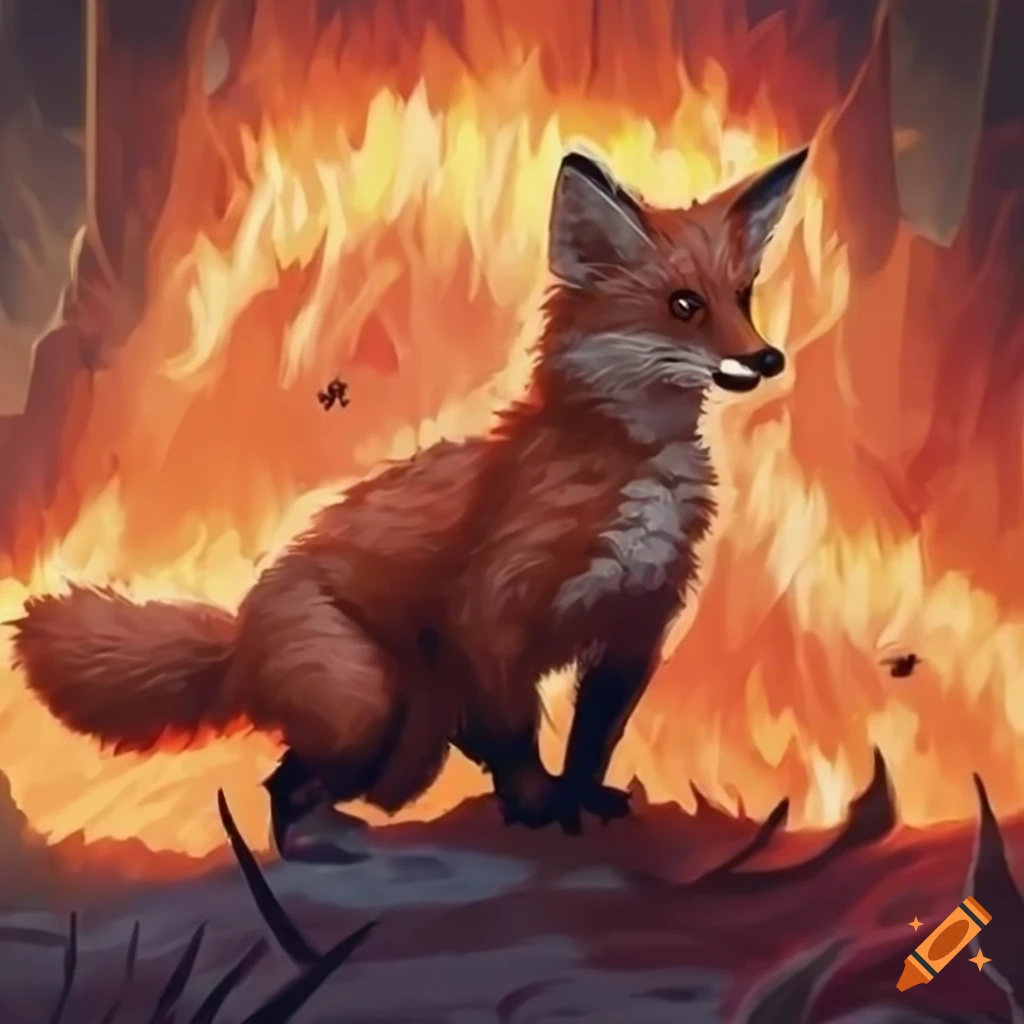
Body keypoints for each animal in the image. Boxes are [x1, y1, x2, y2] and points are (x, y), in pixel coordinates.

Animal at [11, 143, 808, 852]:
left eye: (742, 298)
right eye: (684, 305)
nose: (769, 358)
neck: (629, 465)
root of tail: (239, 634)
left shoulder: (634, 627)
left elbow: (591, 742)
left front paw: (578, 799)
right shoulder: (493, 615)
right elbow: (519, 738)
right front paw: (536, 806)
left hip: (409, 743)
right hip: (369, 707)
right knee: (284, 784)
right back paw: (324, 847)